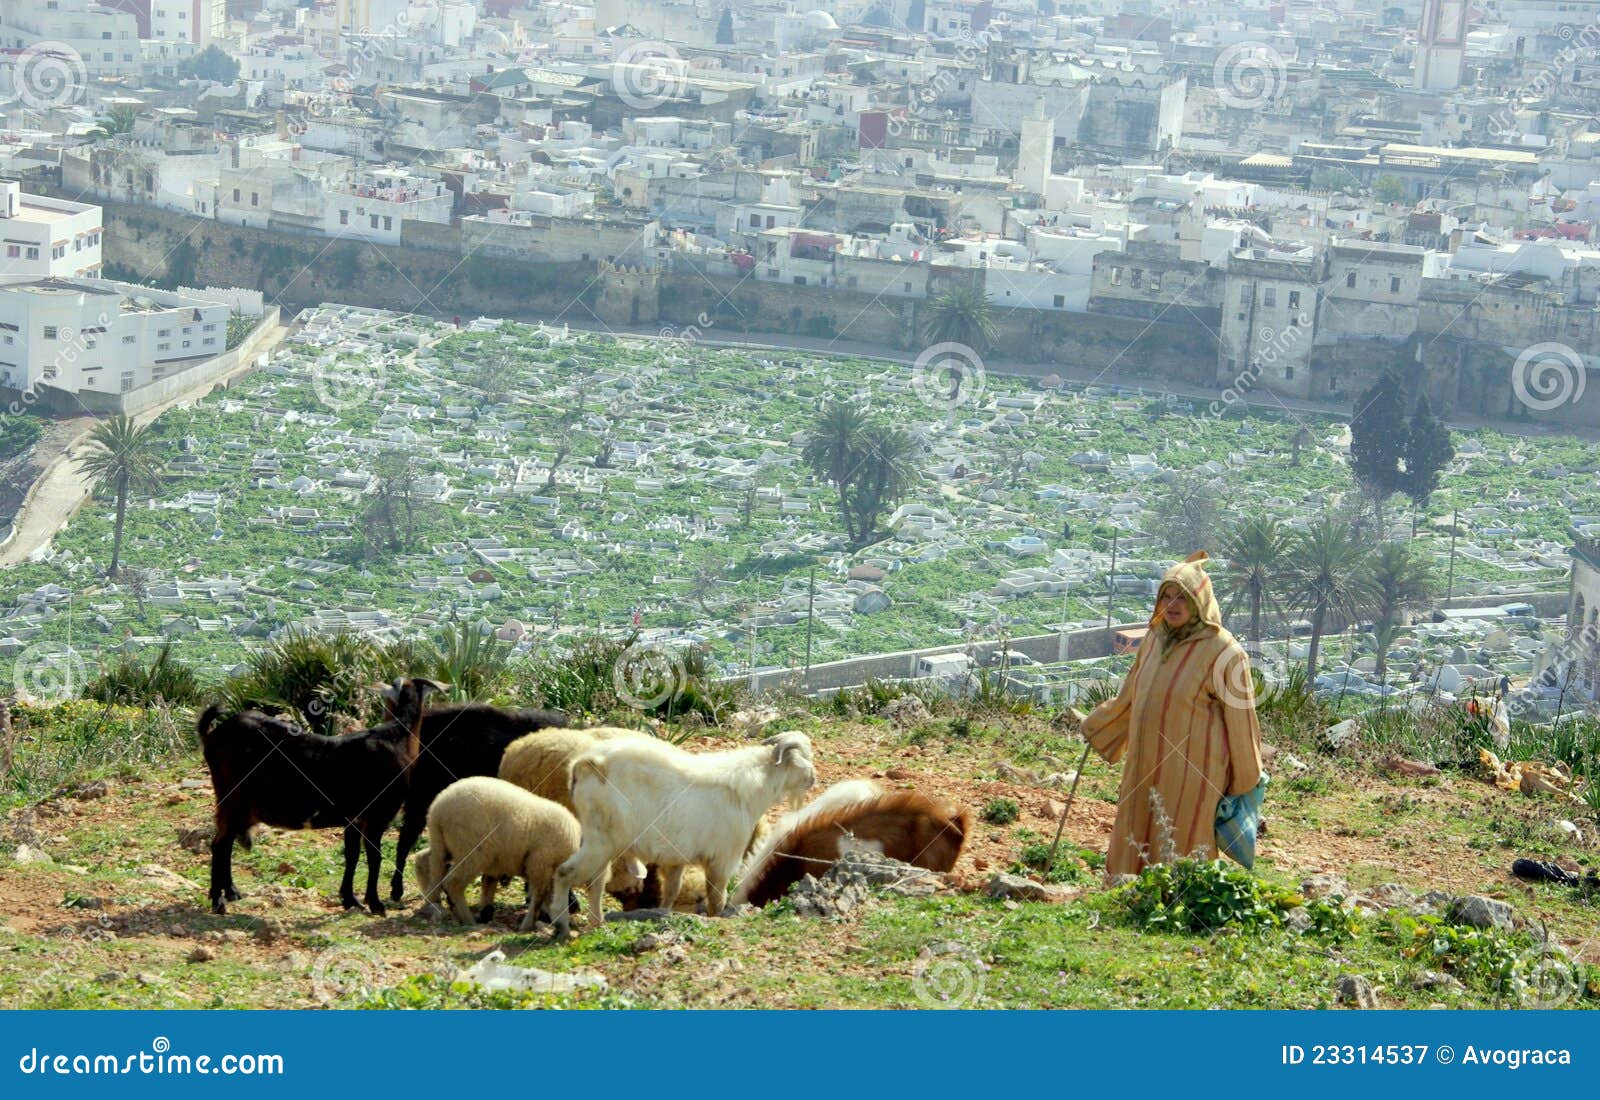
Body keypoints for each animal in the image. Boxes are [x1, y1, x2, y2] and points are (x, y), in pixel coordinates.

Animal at [197, 677, 446, 915]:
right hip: (232, 800)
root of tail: (212, 735)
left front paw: (350, 900)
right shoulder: (377, 816)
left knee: (225, 843)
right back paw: (218, 902)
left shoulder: (354, 819)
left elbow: (352, 855)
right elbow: (374, 858)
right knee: (220, 845)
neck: (397, 736)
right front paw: (375, 904)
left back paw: (231, 892)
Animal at [550, 732, 816, 938]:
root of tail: (588, 762)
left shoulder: (675, 860)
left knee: (595, 883)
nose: (813, 778)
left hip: (602, 845)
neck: (746, 790)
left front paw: (663, 913)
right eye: (803, 757)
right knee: (565, 873)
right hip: (600, 843)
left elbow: (671, 893)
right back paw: (561, 925)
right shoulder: (721, 862)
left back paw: (597, 923)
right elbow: (716, 901)